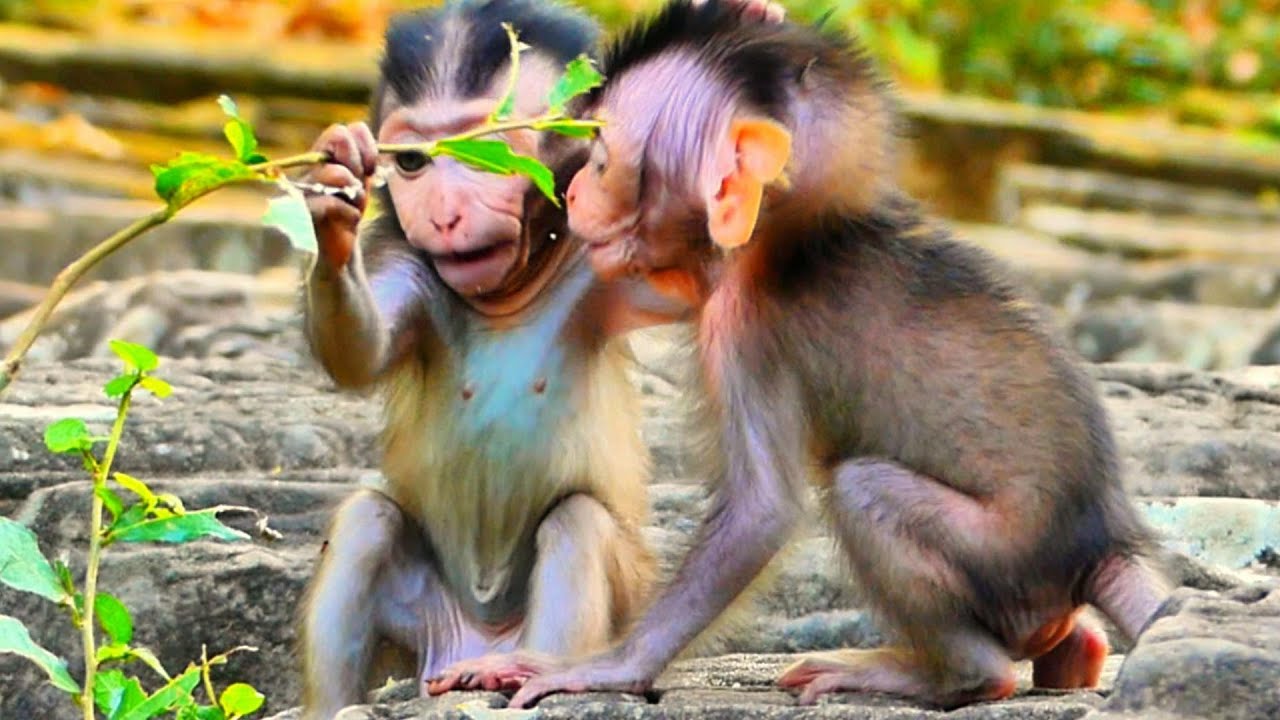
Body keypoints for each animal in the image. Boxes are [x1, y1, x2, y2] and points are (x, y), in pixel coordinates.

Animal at [296, 1, 785, 717]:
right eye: (411, 163)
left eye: (486, 153)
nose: (444, 215)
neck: (513, 289)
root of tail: (476, 645)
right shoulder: (408, 264)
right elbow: (364, 350)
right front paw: (333, 196)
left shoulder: (614, 263)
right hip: (432, 632)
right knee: (367, 522)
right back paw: (340, 705)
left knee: (577, 524)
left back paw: (523, 674)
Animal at [490, 0, 1172, 709]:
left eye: (601, 164)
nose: (571, 195)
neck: (795, 233)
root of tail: (1100, 543)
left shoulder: (746, 325)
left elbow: (760, 512)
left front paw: (607, 667)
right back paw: (1074, 652)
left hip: (1003, 558)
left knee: (863, 490)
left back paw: (953, 672)